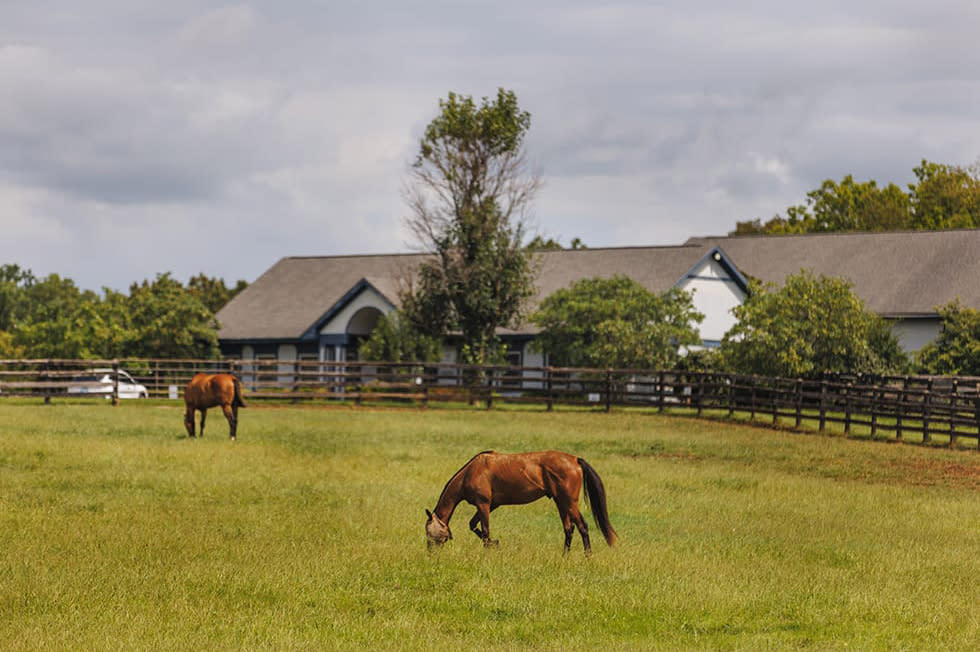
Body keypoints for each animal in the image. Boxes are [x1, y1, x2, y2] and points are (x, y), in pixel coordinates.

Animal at [425, 450, 617, 555]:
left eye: (429, 533)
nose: (430, 553)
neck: (471, 472)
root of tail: (575, 459)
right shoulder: (492, 505)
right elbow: (473, 525)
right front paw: (495, 544)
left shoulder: (484, 504)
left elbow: (485, 530)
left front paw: (490, 548)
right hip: (561, 502)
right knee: (569, 529)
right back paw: (564, 556)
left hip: (569, 503)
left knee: (583, 526)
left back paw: (588, 556)